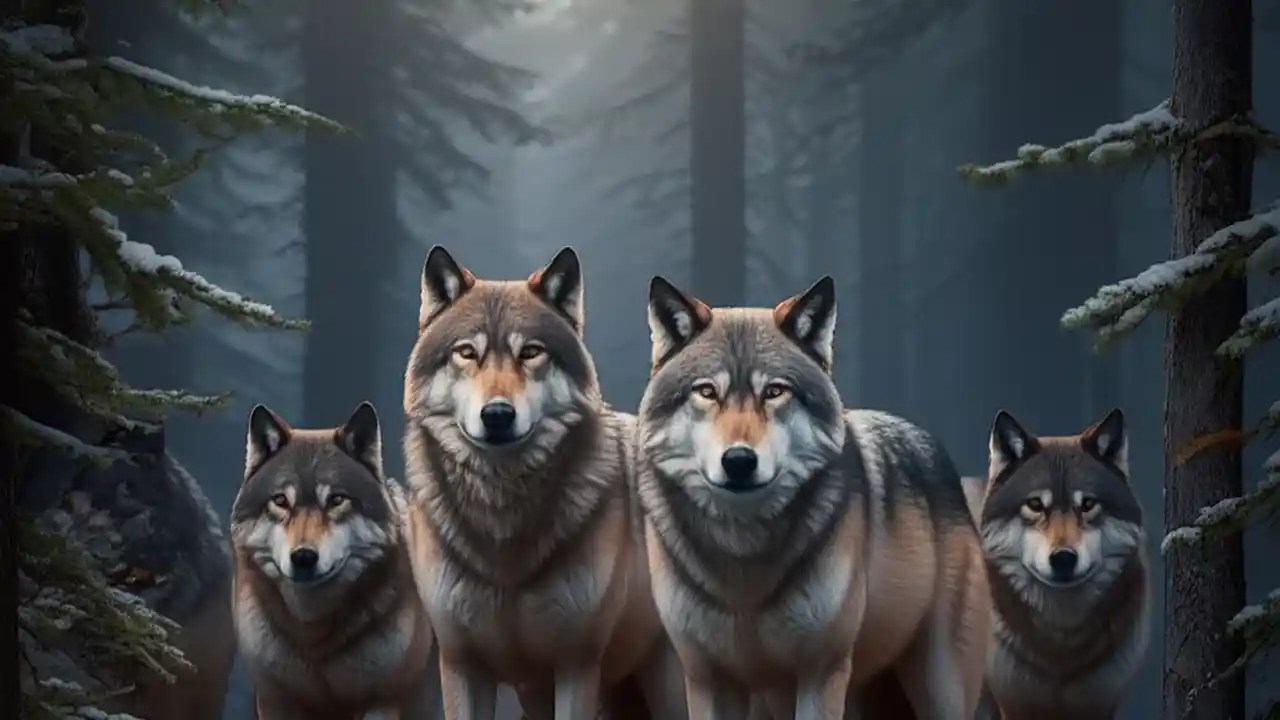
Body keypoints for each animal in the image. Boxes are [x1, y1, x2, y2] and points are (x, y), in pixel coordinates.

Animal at [230, 402, 438, 720]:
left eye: (337, 500)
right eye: (280, 501)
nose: (303, 557)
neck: (314, 633)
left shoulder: (383, 700)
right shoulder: (274, 699)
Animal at [635, 275, 990, 720]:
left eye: (774, 391)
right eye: (706, 391)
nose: (738, 461)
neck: (743, 557)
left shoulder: (822, 671)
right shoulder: (706, 678)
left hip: (939, 689)